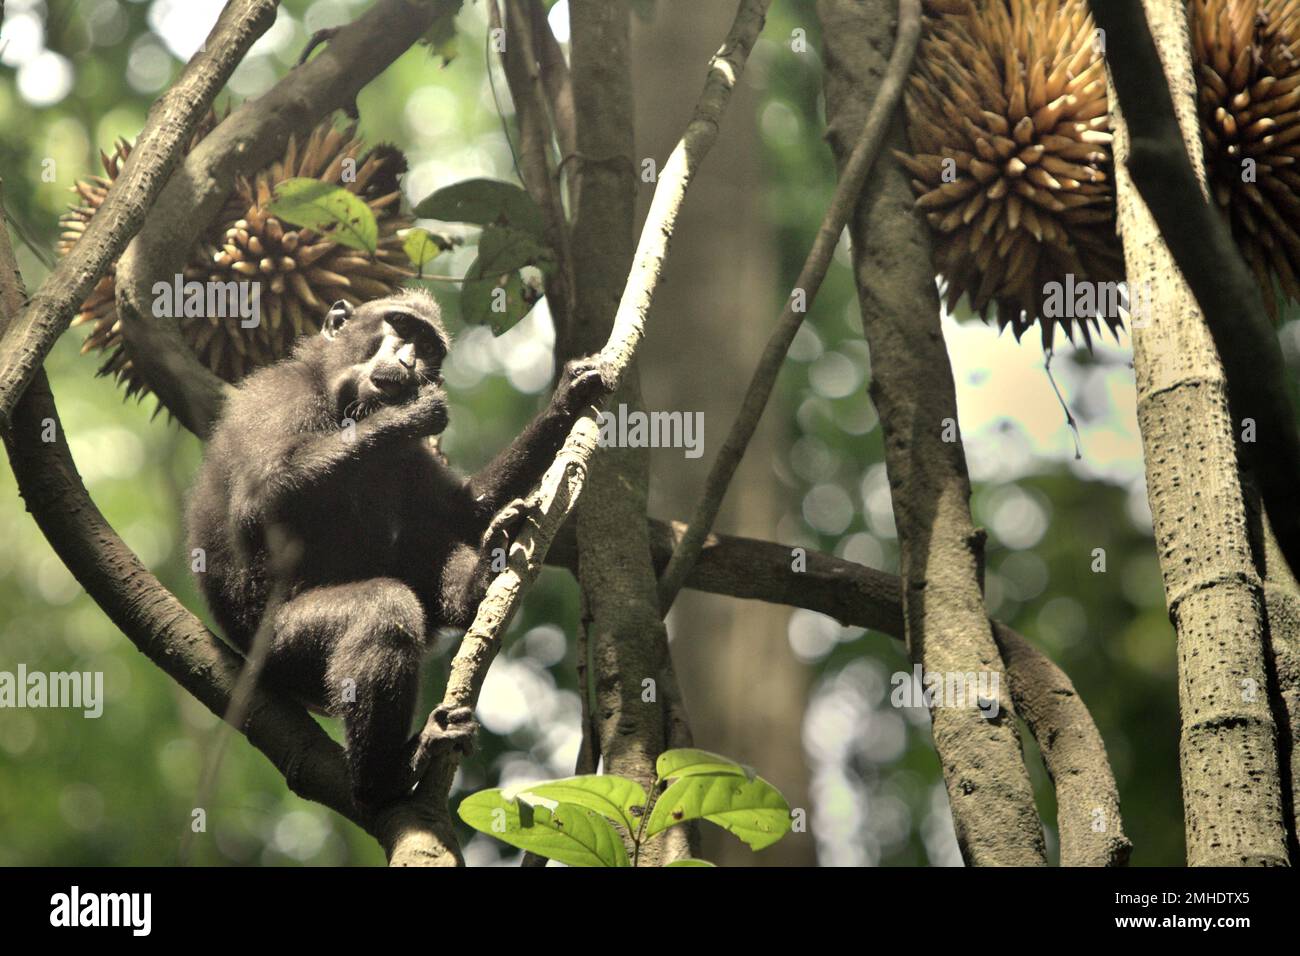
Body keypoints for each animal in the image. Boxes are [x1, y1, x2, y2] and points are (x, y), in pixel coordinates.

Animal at [186, 289, 612, 809]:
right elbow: (262, 498)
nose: (409, 360)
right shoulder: (278, 395)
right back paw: (385, 777)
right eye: (402, 327)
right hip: (283, 647)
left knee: (419, 530)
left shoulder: (408, 453)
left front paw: (566, 400)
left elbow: (460, 509)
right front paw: (411, 411)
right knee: (382, 610)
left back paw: (481, 578)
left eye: (428, 348)